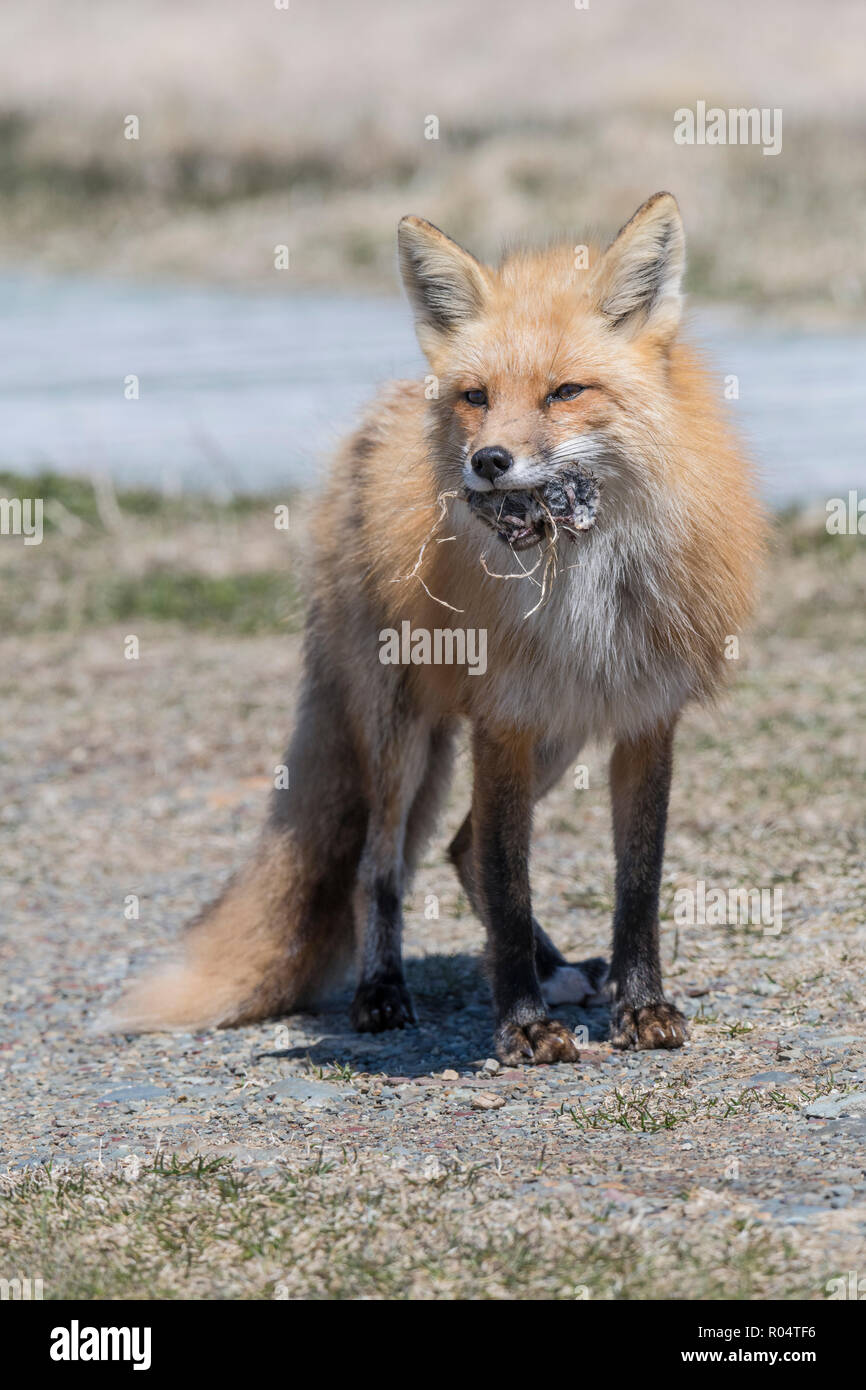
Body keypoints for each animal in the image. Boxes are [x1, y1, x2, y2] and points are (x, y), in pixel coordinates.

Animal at [111, 192, 765, 1064]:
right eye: (477, 397)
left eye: (565, 392)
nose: (487, 462)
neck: (583, 580)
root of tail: (373, 421)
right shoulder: (500, 722)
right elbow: (509, 878)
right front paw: (522, 1024)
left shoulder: (643, 718)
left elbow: (637, 884)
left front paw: (642, 1006)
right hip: (402, 732)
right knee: (378, 864)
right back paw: (383, 992)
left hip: (559, 731)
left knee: (456, 849)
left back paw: (557, 970)